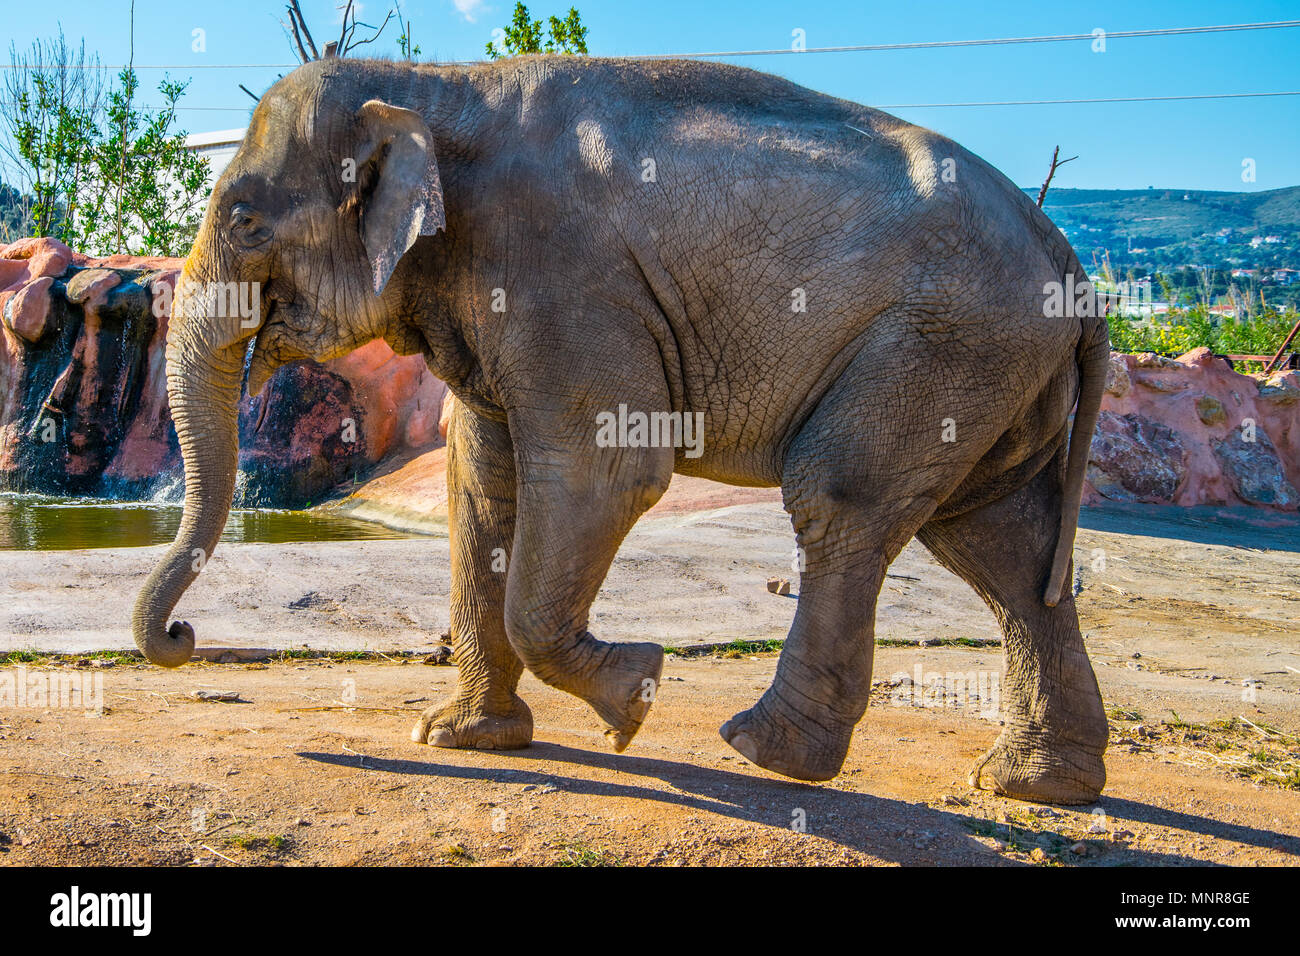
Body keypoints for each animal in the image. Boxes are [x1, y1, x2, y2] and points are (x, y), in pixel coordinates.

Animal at [133, 54, 1110, 805]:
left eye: (244, 221)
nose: (184, 639)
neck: (436, 87)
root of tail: (1071, 263)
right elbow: (483, 484)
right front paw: (457, 738)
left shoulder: (564, 277)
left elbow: (604, 469)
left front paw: (637, 698)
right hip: (989, 367)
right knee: (999, 545)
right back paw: (1034, 786)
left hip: (941, 343)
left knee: (845, 501)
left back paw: (766, 752)